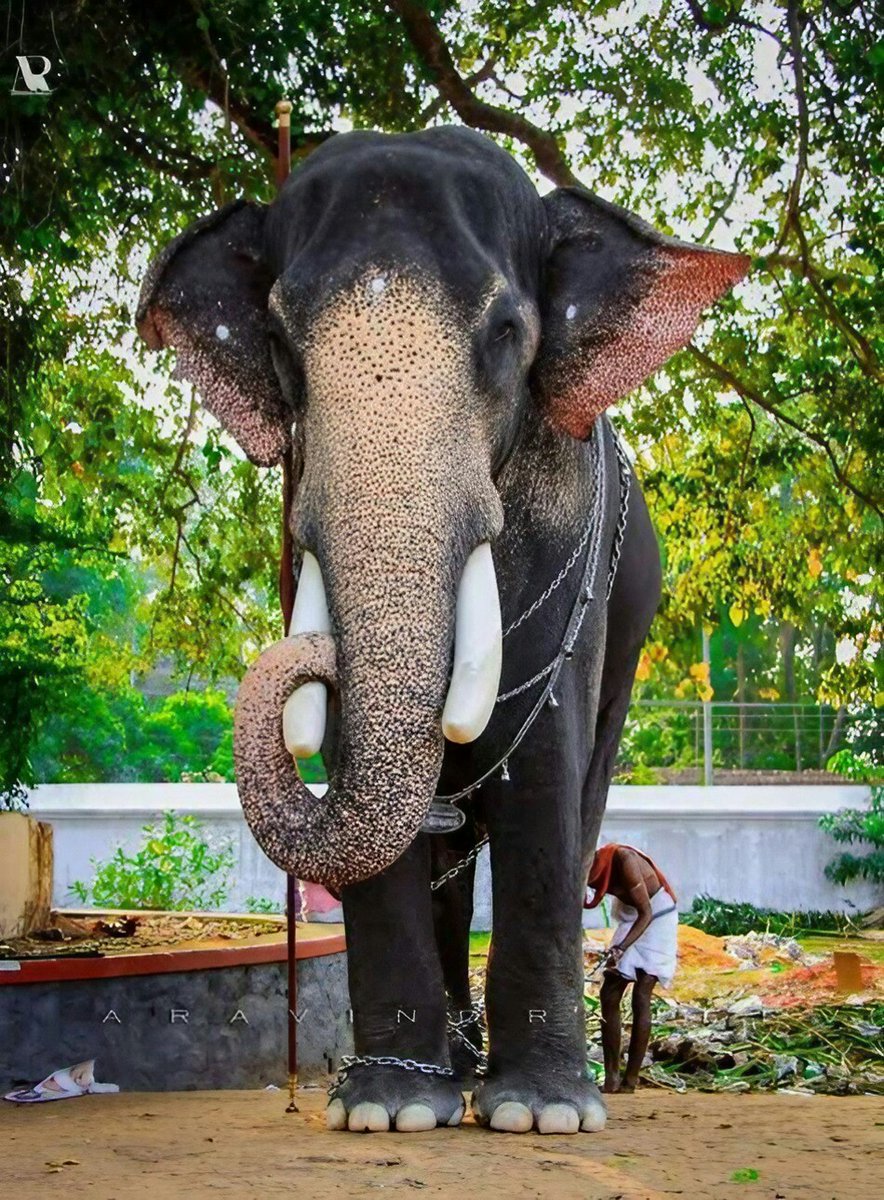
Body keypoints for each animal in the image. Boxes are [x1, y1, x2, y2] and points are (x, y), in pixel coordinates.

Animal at [136, 126, 747, 1134]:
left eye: (504, 335)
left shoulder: (573, 549)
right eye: (280, 344)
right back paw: (451, 1068)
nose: (298, 653)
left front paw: (543, 1114)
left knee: (579, 800)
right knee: (451, 863)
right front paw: (387, 1110)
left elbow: (542, 782)